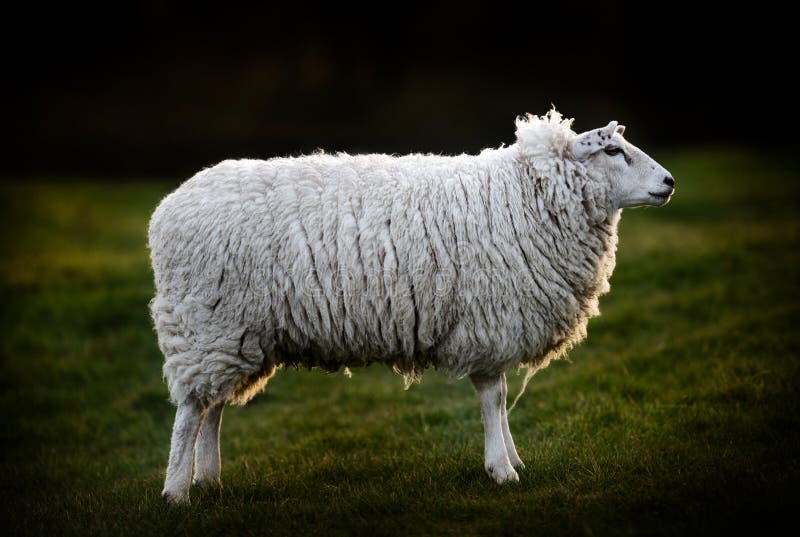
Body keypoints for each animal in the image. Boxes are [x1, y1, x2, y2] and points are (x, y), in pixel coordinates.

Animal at [148, 109, 674, 503]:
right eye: (612, 151)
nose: (669, 182)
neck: (526, 194)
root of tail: (167, 209)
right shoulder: (488, 322)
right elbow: (494, 398)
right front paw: (502, 470)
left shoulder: (497, 327)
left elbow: (502, 400)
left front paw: (513, 457)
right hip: (205, 323)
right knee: (190, 411)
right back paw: (176, 492)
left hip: (231, 333)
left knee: (212, 407)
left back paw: (208, 479)